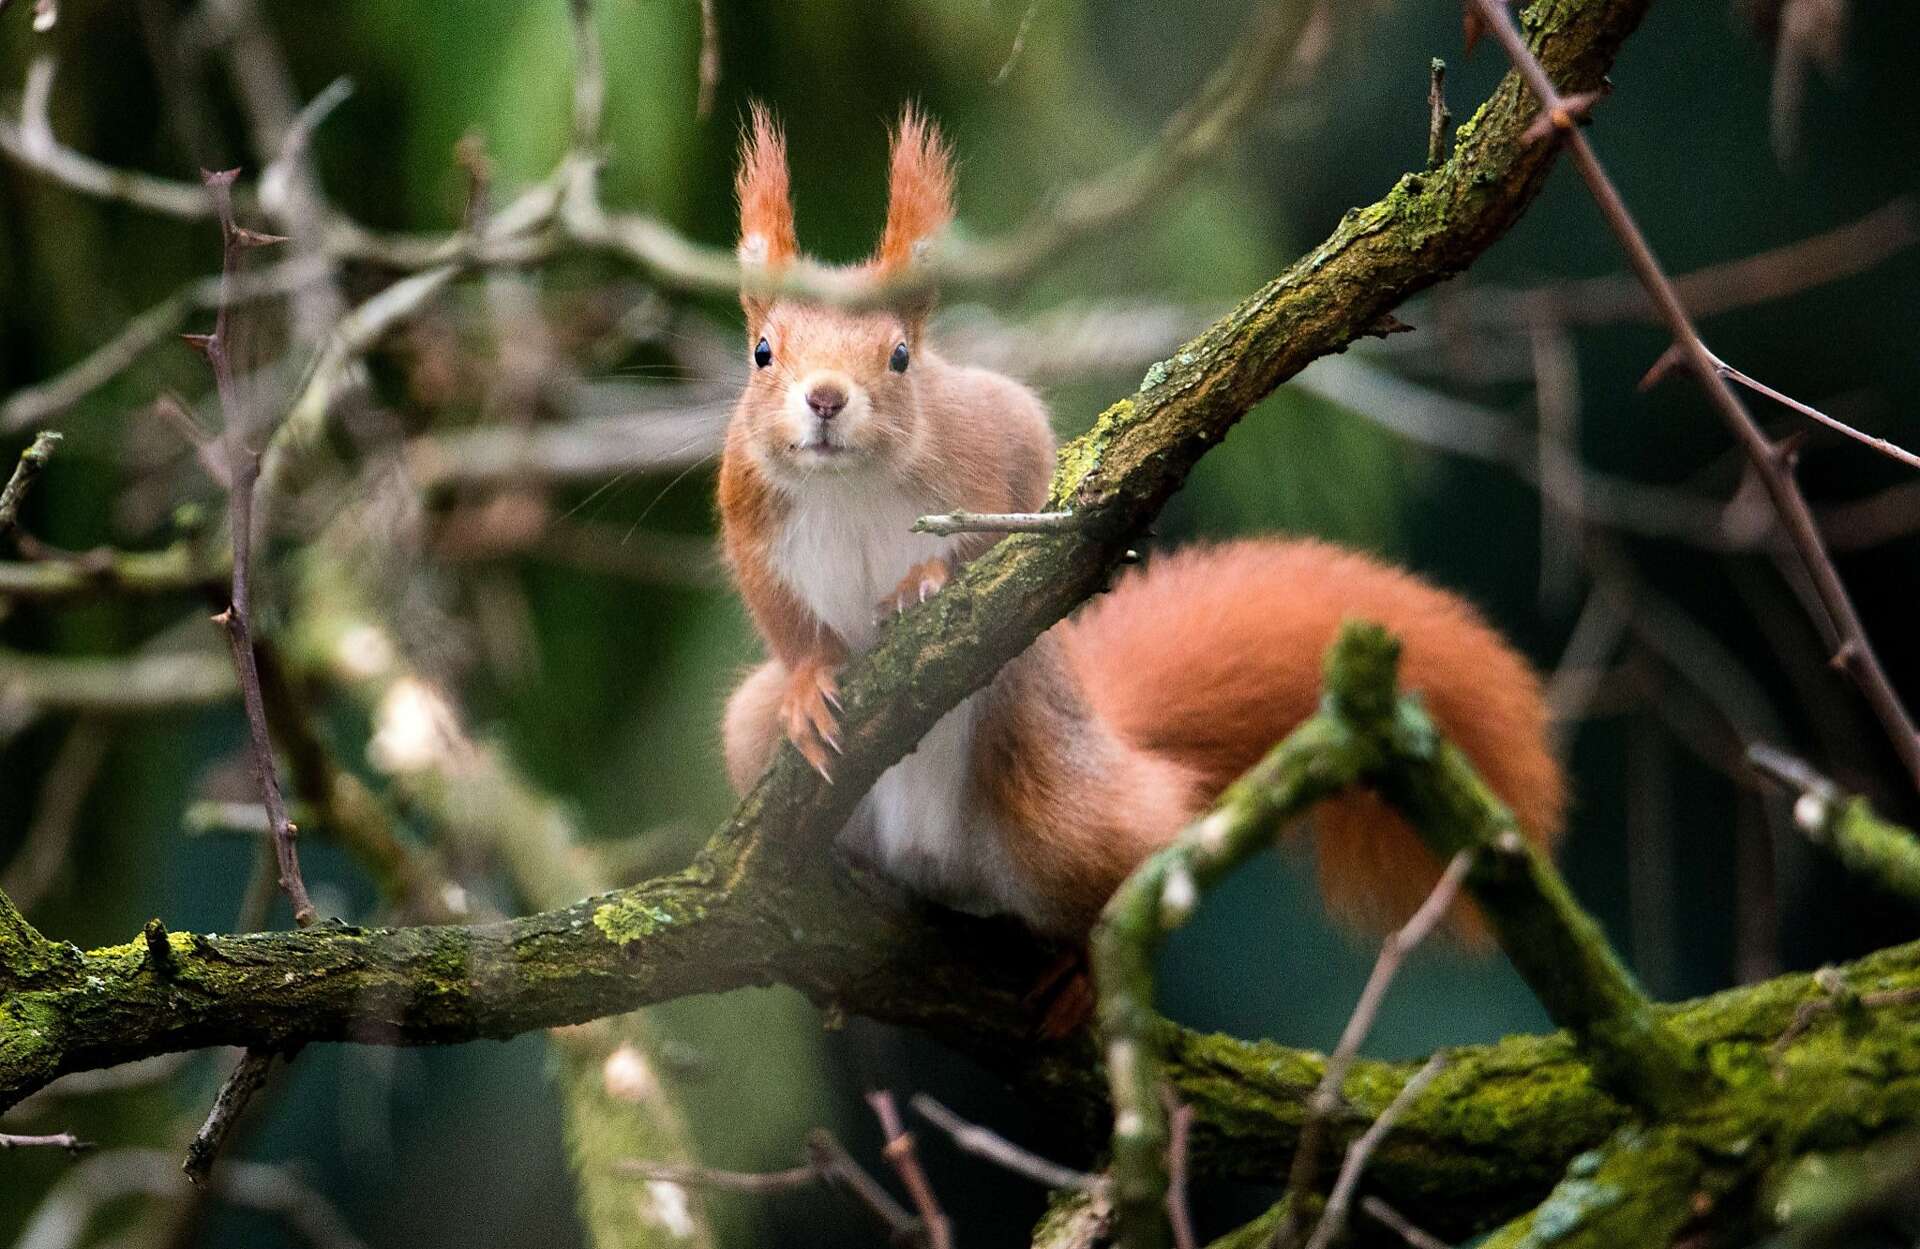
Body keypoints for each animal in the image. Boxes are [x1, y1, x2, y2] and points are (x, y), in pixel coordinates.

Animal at [718, 105, 1564, 949]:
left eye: (900, 357)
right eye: (762, 352)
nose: (826, 397)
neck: (849, 485)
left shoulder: (996, 433)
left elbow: (1017, 515)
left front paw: (928, 576)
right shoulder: (748, 510)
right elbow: (776, 610)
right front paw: (808, 681)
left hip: (1057, 798)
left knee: (1122, 858)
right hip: (750, 734)